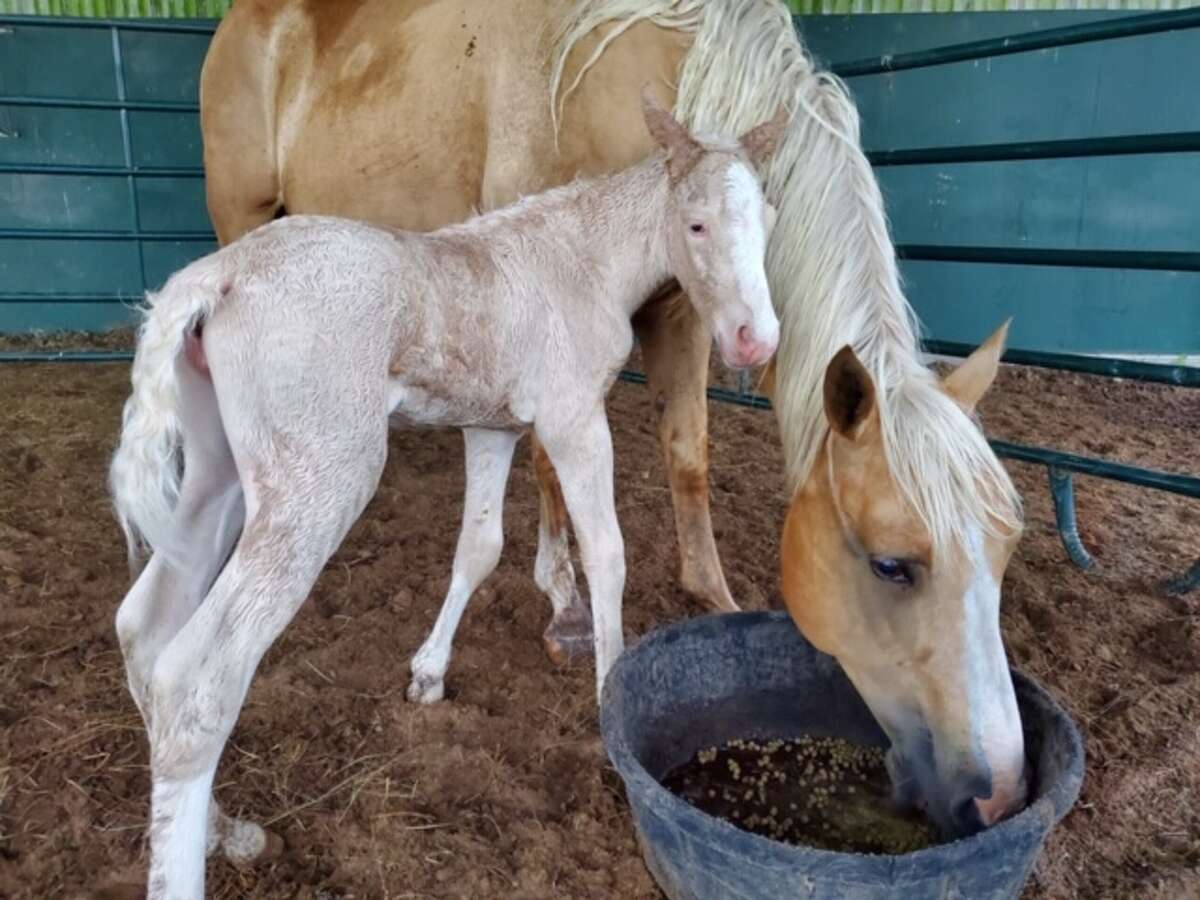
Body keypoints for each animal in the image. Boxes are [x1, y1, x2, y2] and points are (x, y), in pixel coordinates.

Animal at [109, 93, 781, 899]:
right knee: (196, 679)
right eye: (697, 224)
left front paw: (428, 672)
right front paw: (608, 701)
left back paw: (224, 830)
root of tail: (218, 276)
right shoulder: (573, 419)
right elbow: (607, 551)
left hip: (219, 479)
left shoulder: (490, 429)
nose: (755, 341)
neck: (579, 264)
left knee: (144, 630)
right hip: (319, 484)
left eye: (768, 219)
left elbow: (478, 548)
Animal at [201, 0, 1027, 848]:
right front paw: (566, 607)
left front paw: (715, 595)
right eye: (894, 565)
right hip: (243, 221)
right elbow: (559, 484)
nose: (993, 790)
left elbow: (688, 452)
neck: (633, 64)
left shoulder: (680, 311)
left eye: (1005, 552)